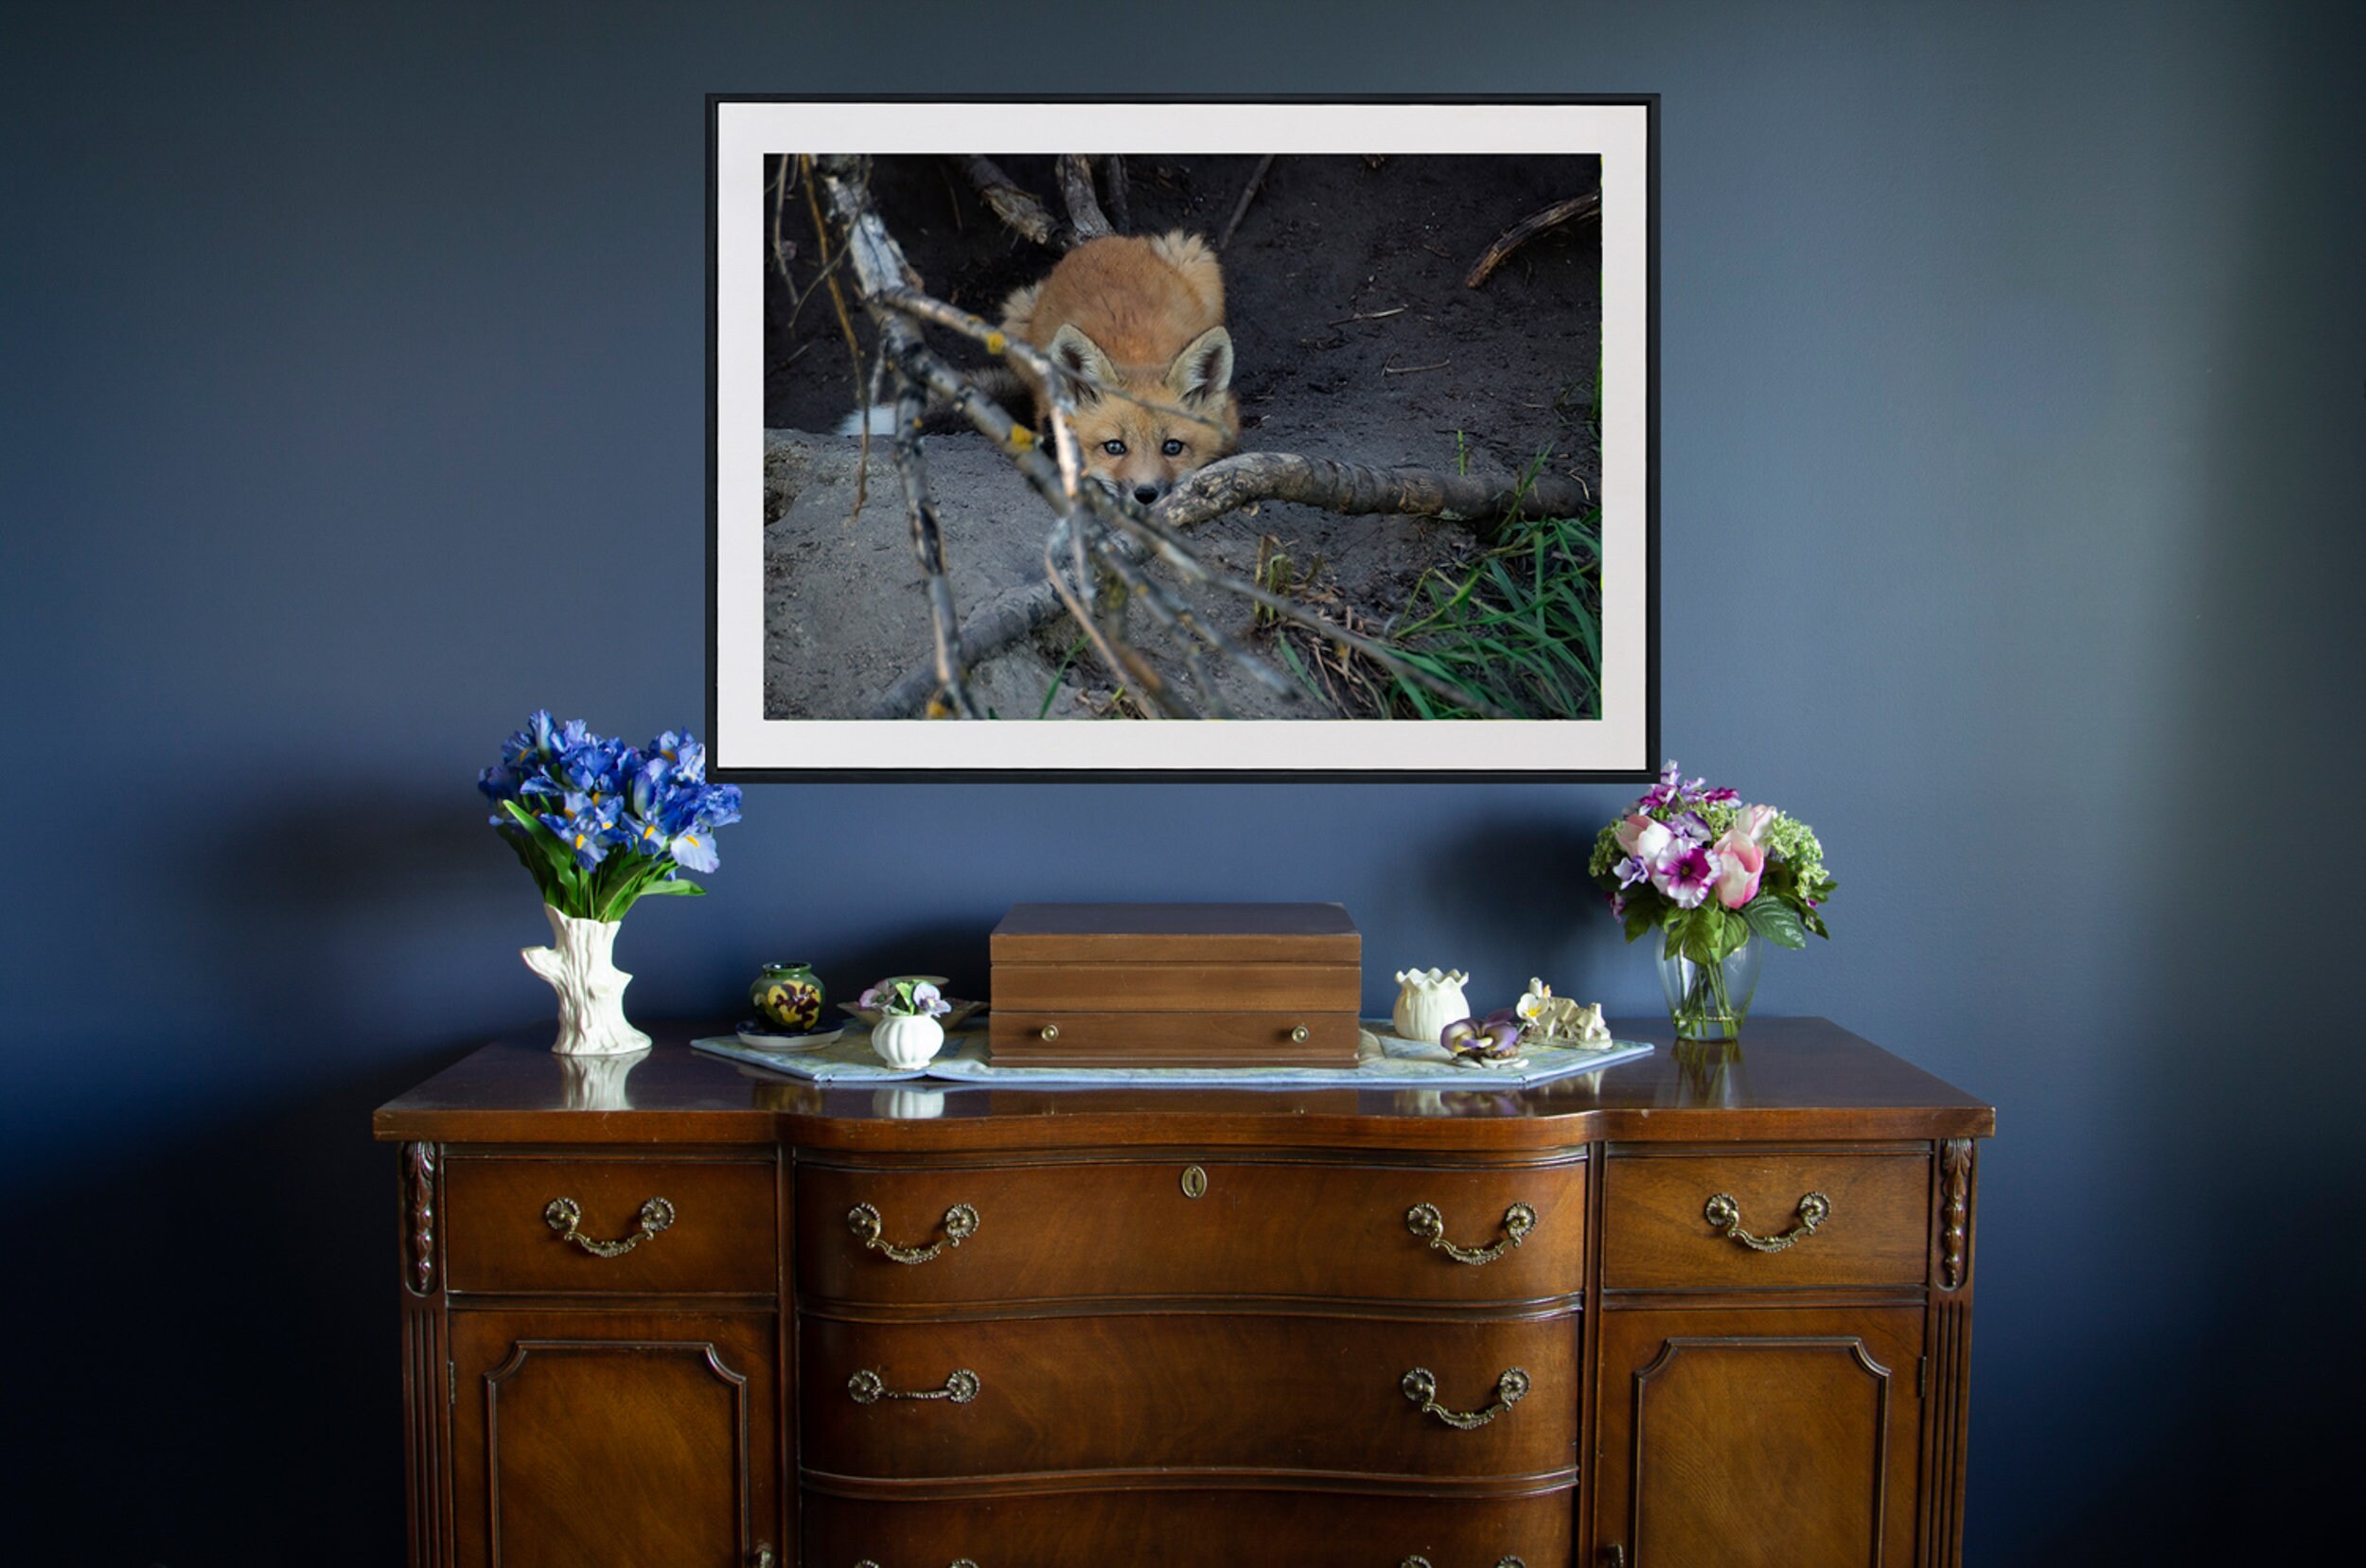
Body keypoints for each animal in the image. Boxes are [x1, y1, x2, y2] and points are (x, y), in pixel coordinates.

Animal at [843, 230, 1238, 507]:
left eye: (1173, 447)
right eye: (1114, 447)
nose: (1145, 494)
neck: (1136, 353)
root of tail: (1095, 243)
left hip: (1197, 257)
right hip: (1015, 319)